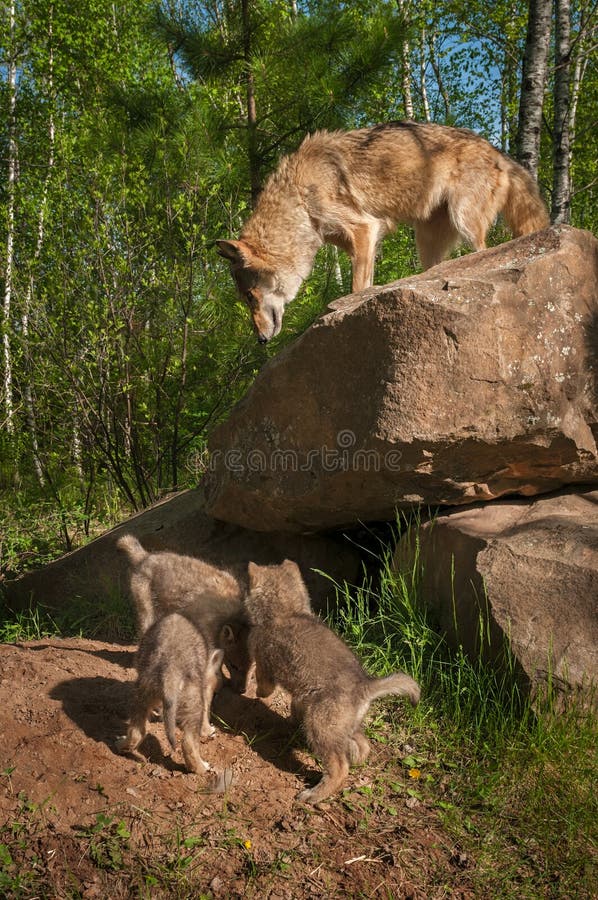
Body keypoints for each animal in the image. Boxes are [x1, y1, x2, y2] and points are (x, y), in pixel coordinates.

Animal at [116, 534, 250, 692]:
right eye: (234, 666)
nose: (243, 690)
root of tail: (144, 556)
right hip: (146, 614)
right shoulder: (207, 636)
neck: (229, 614)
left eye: (253, 666)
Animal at [116, 612, 224, 773]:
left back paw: (120, 745)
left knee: (137, 731)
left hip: (142, 694)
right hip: (192, 702)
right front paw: (209, 729)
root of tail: (170, 669)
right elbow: (207, 710)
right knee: (188, 743)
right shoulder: (205, 689)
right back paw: (201, 768)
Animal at [217, 121, 549, 343]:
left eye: (250, 297)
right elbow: (367, 286)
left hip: (464, 221)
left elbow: (356, 289)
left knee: (484, 252)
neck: (299, 198)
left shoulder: (365, 228)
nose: (261, 340)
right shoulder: (362, 242)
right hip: (427, 245)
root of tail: (497, 151)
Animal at [245, 559, 421, 803]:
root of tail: (365, 685)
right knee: (362, 747)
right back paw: (354, 758)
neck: (288, 612)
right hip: (344, 726)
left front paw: (257, 695)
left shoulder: (264, 664)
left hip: (320, 726)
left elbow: (264, 687)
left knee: (339, 767)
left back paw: (313, 795)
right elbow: (294, 706)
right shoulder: (301, 696)